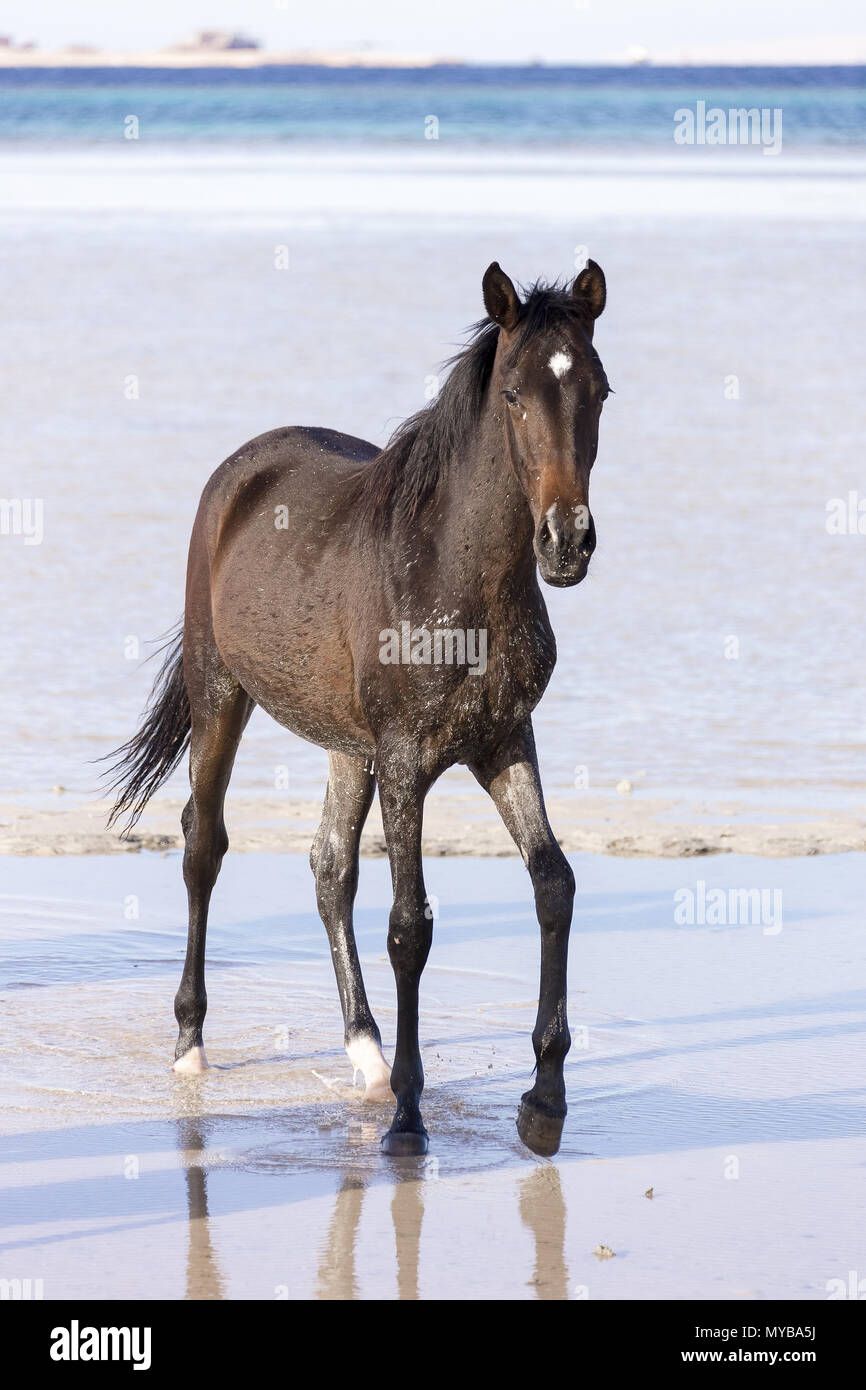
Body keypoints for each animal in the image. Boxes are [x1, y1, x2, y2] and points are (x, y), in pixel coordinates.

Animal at [106, 259, 610, 1157]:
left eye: (600, 391)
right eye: (515, 393)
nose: (565, 542)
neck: (456, 576)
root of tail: (240, 470)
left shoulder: (505, 741)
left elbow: (554, 882)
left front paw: (544, 1103)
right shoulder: (408, 758)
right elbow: (410, 926)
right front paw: (410, 1119)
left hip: (349, 744)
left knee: (329, 866)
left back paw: (367, 1057)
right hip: (221, 691)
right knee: (204, 844)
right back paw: (193, 1044)